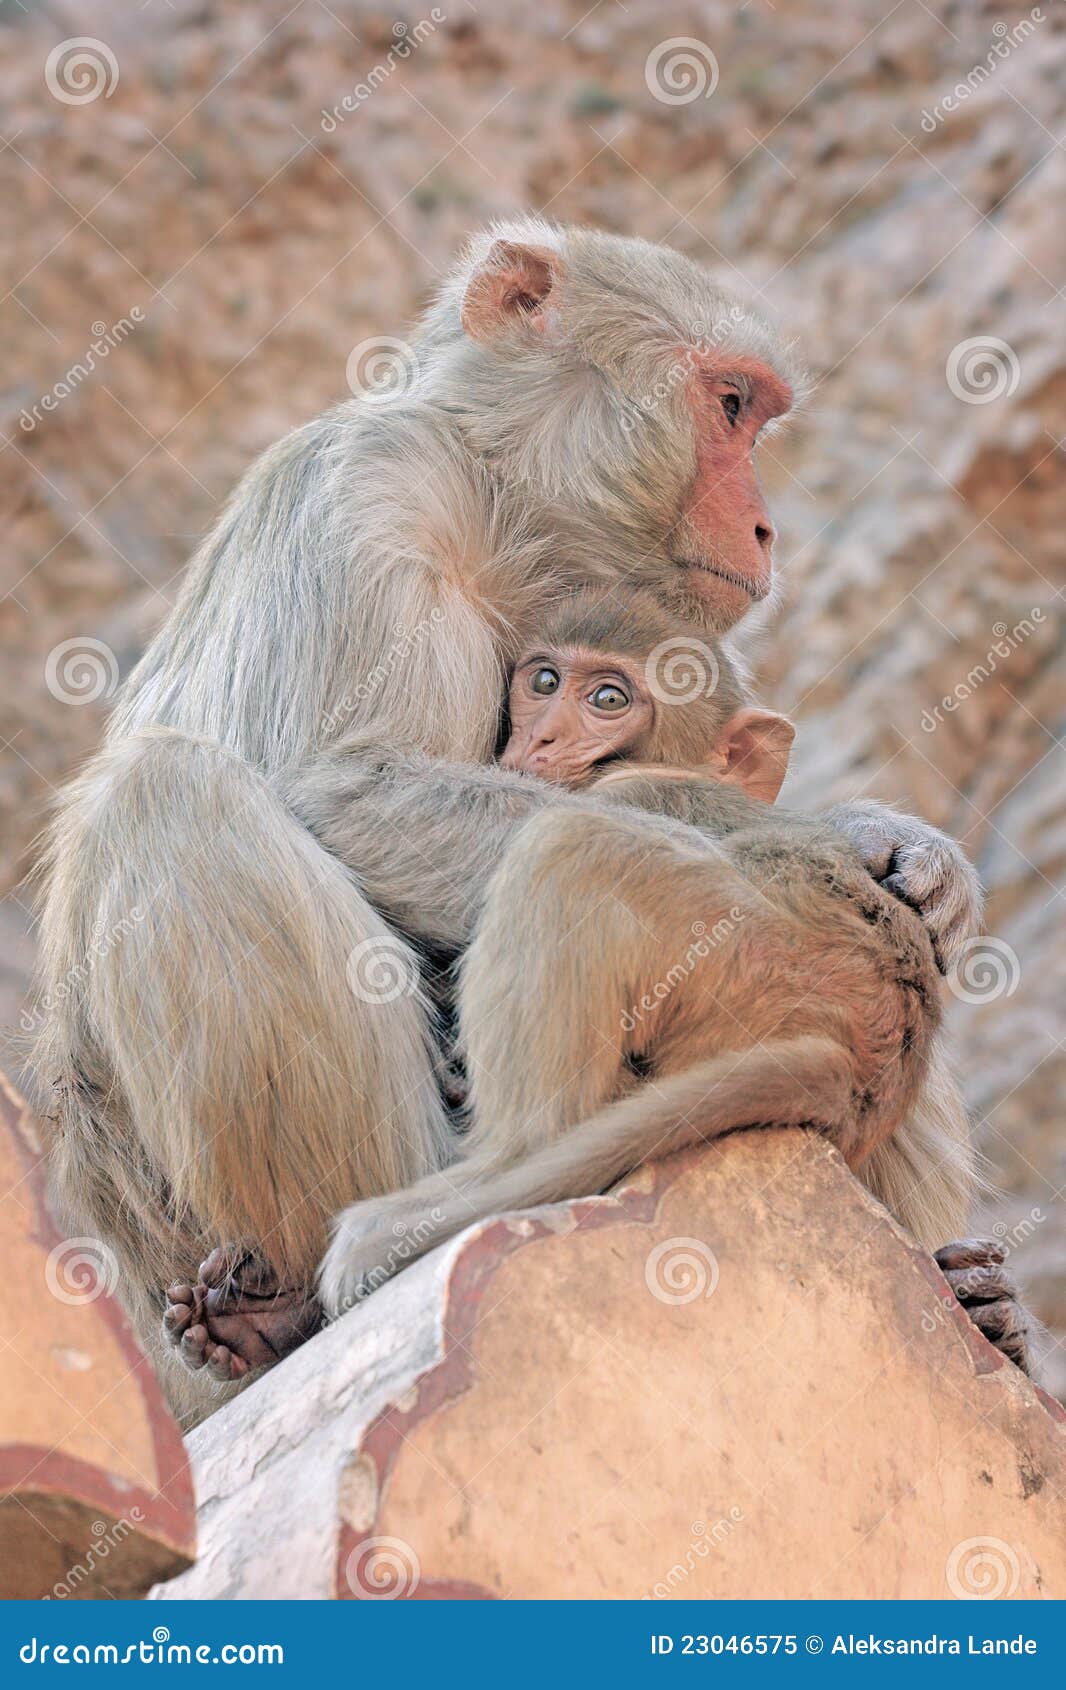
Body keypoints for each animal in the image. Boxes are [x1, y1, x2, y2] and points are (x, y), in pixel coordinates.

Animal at [33, 220, 994, 1418]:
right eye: (730, 406)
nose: (766, 525)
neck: (502, 507)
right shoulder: (374, 482)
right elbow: (339, 782)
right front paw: (843, 865)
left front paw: (906, 856)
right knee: (165, 794)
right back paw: (297, 1304)